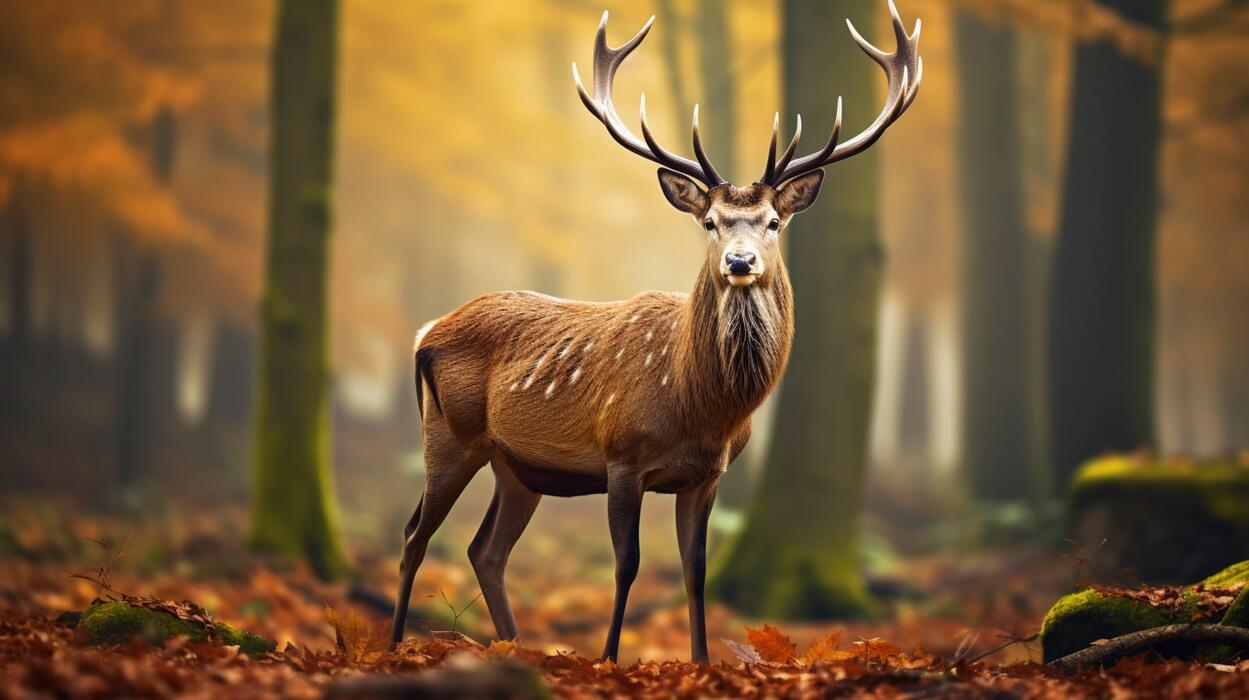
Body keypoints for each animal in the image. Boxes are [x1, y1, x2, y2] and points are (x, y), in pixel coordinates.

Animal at [390, 0, 922, 664]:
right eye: (711, 222)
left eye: (773, 221)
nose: (740, 261)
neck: (702, 406)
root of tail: (426, 331)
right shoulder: (621, 456)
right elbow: (627, 565)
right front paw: (610, 657)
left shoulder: (707, 475)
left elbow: (695, 571)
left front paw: (700, 661)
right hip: (449, 435)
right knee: (414, 535)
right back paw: (392, 645)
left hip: (516, 468)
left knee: (485, 550)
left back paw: (516, 648)